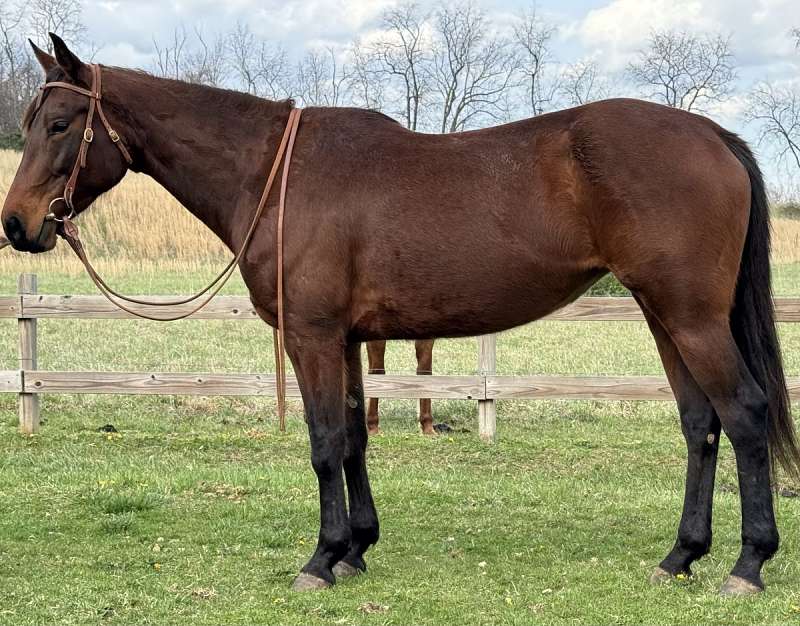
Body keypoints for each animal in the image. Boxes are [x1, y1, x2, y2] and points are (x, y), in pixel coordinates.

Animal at [3, 34, 798, 596]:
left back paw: (748, 565)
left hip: (692, 318)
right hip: (665, 316)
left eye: (62, 122)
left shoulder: (313, 338)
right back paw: (680, 556)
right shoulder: (350, 341)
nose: (16, 225)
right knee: (700, 425)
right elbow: (355, 437)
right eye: (33, 121)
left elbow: (325, 442)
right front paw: (356, 548)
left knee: (745, 413)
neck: (274, 174)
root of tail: (713, 136)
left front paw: (321, 558)